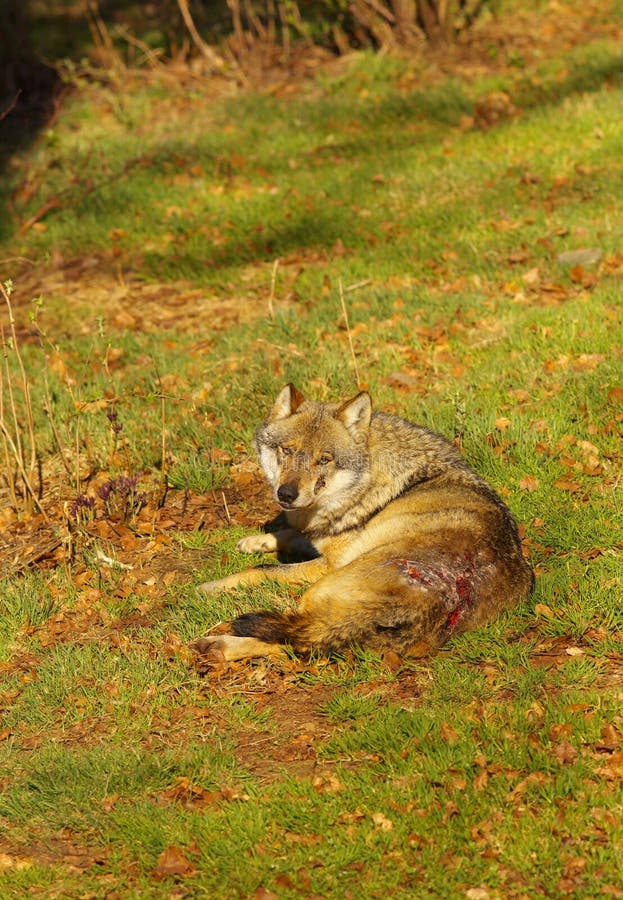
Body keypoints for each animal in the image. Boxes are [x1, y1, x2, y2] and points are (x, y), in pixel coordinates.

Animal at [191, 384, 533, 662]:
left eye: (324, 459)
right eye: (286, 450)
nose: (286, 494)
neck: (368, 484)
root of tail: (426, 606)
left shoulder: (328, 563)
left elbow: (261, 570)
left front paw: (211, 586)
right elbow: (289, 534)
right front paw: (255, 540)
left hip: (317, 590)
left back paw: (217, 644)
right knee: (296, 643)